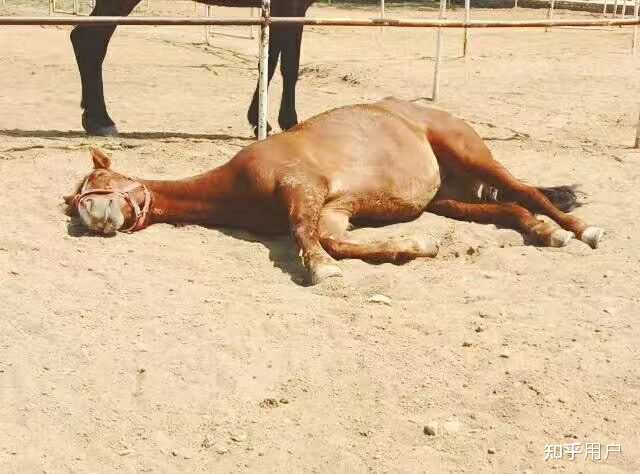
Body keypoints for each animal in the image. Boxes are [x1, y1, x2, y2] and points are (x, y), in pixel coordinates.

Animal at [64, 98, 603, 285]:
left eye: (98, 183)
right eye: (75, 202)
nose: (92, 218)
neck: (237, 186)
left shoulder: (304, 189)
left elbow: (309, 238)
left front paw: (322, 270)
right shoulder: (334, 210)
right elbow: (335, 240)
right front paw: (412, 247)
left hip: (472, 154)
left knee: (528, 192)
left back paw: (580, 229)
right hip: (448, 198)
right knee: (511, 208)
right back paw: (544, 233)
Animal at [70, 0, 315, 137]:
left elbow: (274, 64)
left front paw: (261, 120)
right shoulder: (289, 8)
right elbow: (284, 66)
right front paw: (286, 122)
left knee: (86, 40)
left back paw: (93, 118)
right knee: (89, 41)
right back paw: (102, 121)